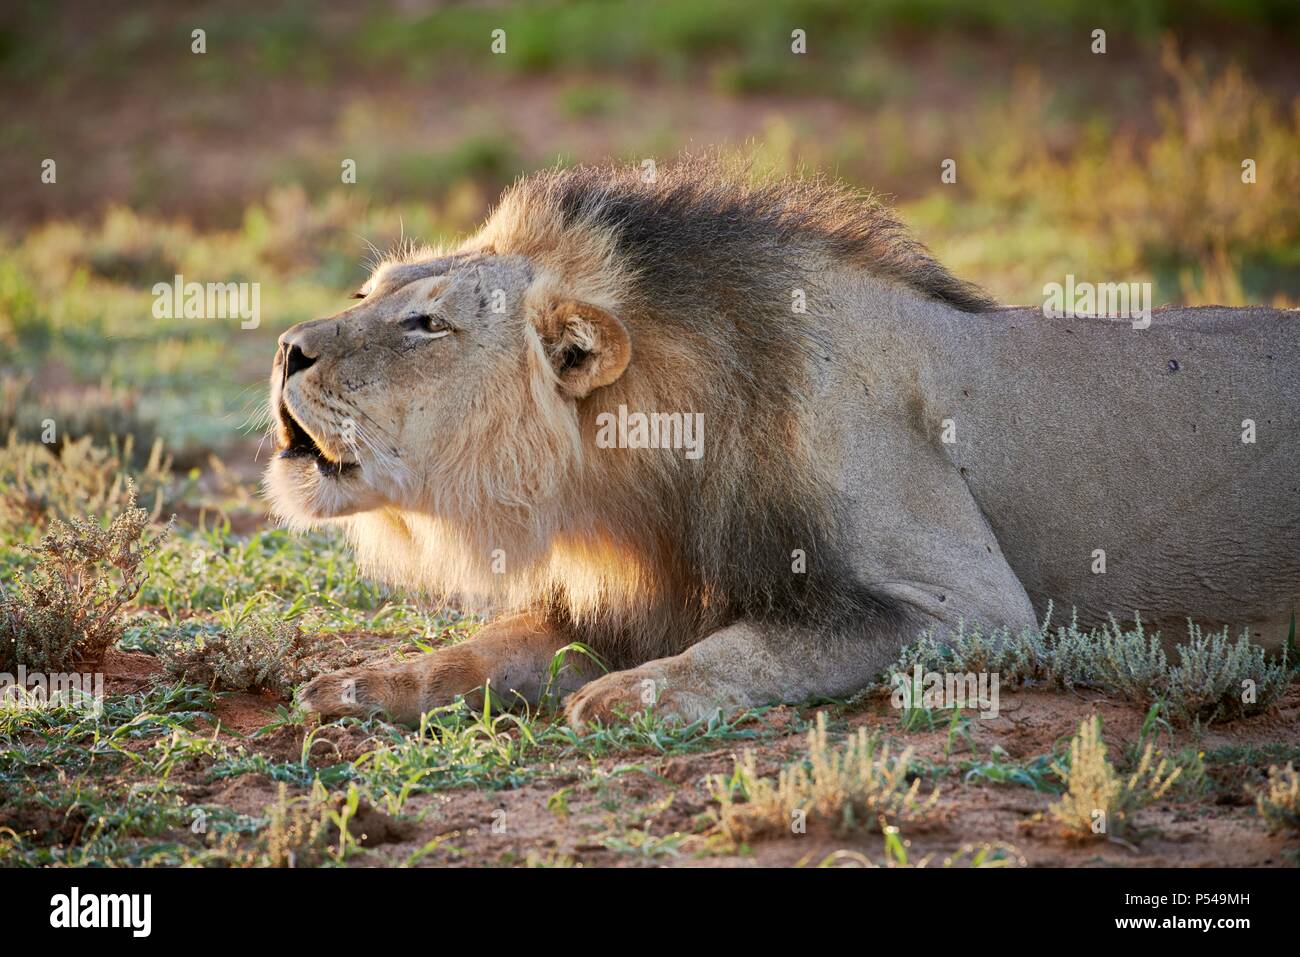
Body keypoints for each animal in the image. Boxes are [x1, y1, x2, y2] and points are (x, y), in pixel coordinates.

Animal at [265, 156, 1300, 728]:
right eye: (367, 293)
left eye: (426, 325)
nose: (285, 349)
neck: (630, 484)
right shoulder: (624, 597)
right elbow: (472, 654)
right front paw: (359, 683)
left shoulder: (972, 605)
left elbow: (760, 642)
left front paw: (631, 696)